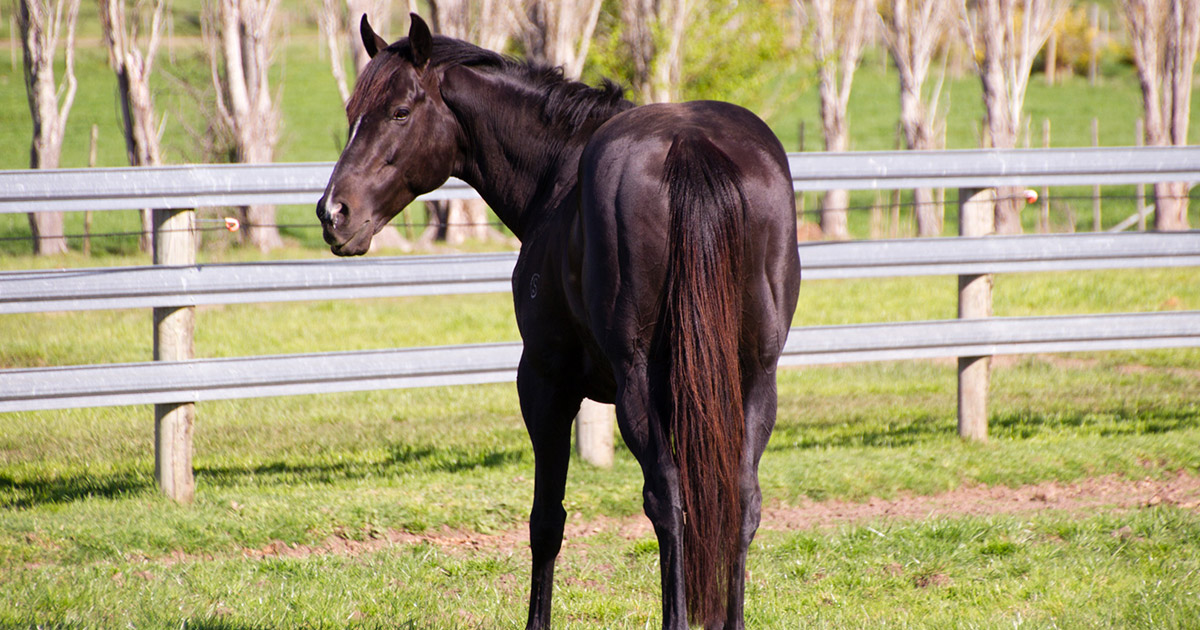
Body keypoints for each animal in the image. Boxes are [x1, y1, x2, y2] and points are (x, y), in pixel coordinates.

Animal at [316, 14, 801, 630]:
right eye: (354, 112)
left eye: (400, 111)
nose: (333, 213)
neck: (560, 174)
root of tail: (689, 145)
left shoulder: (545, 383)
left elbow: (546, 521)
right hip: (755, 378)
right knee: (741, 498)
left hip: (639, 388)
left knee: (666, 500)